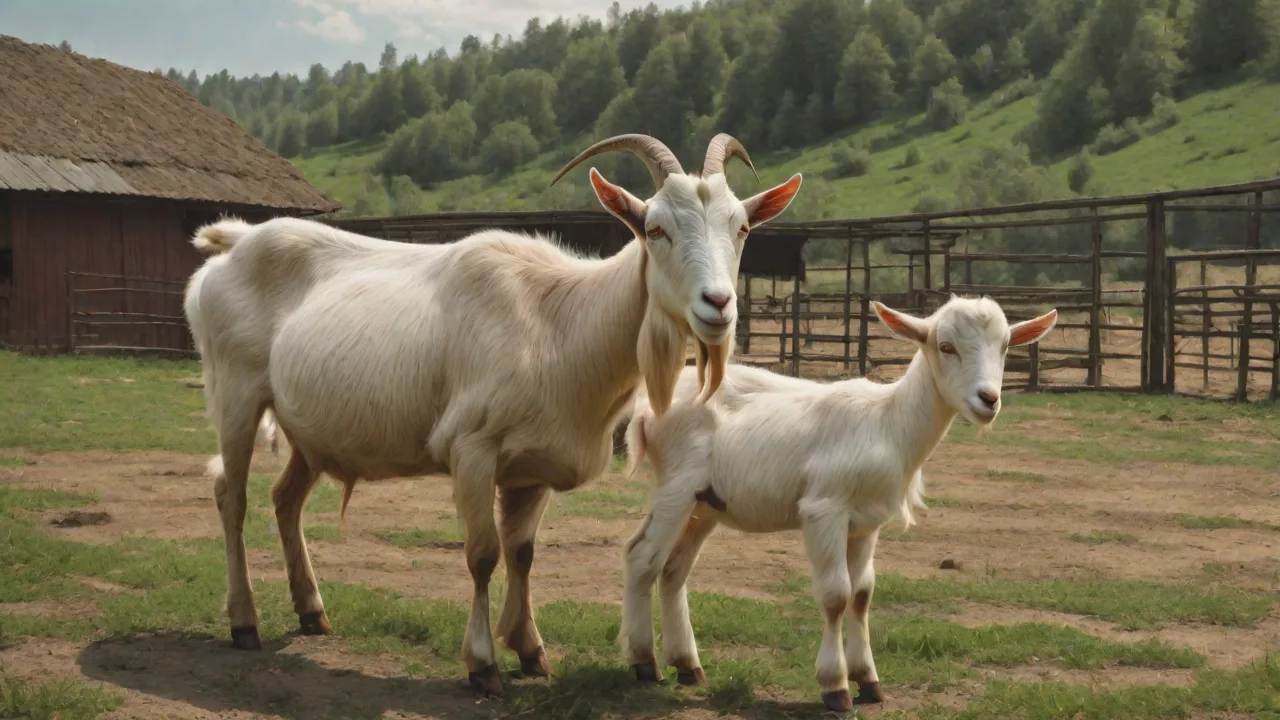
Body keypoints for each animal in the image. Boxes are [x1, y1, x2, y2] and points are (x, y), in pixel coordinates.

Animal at [181, 133, 803, 696]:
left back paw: (311, 611)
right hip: (235, 390)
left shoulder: (533, 466)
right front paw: (482, 665)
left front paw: (530, 650)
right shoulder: (472, 449)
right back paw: (244, 622)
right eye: (654, 228)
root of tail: (233, 245)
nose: (717, 304)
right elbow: (482, 555)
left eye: (741, 229)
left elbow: (521, 554)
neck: (559, 323)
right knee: (232, 495)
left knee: (284, 498)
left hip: (309, 429)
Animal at [619, 296, 1057, 711]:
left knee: (673, 569)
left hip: (706, 502)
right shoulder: (824, 510)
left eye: (1005, 346)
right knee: (642, 556)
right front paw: (836, 687)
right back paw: (644, 663)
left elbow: (862, 595)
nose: (989, 399)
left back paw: (687, 665)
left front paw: (869, 680)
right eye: (945, 346)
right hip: (676, 485)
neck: (889, 423)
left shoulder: (866, 523)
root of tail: (648, 408)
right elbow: (836, 596)